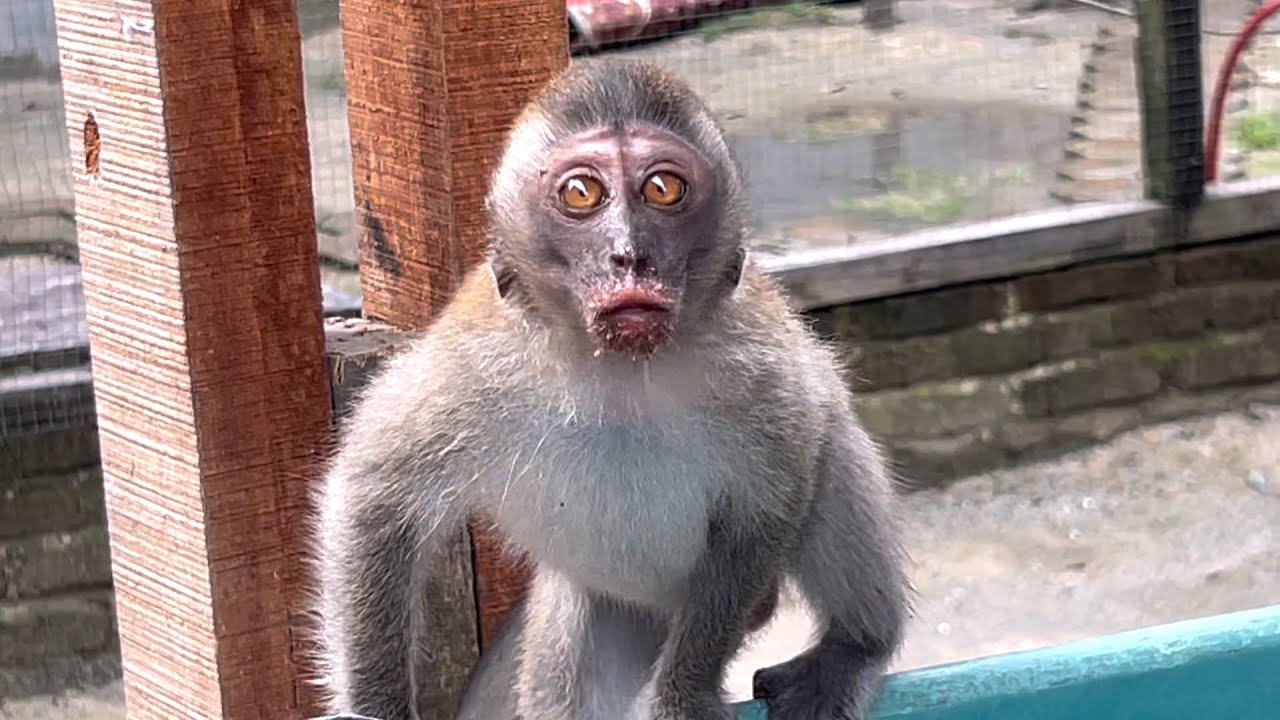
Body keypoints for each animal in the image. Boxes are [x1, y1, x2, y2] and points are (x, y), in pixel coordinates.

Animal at [313, 58, 910, 720]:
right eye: (582, 193)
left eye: (664, 189)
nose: (631, 256)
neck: (618, 369)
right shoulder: (473, 361)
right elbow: (376, 496)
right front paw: (374, 708)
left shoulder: (760, 368)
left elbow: (774, 494)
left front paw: (684, 695)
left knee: (833, 446)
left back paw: (854, 646)